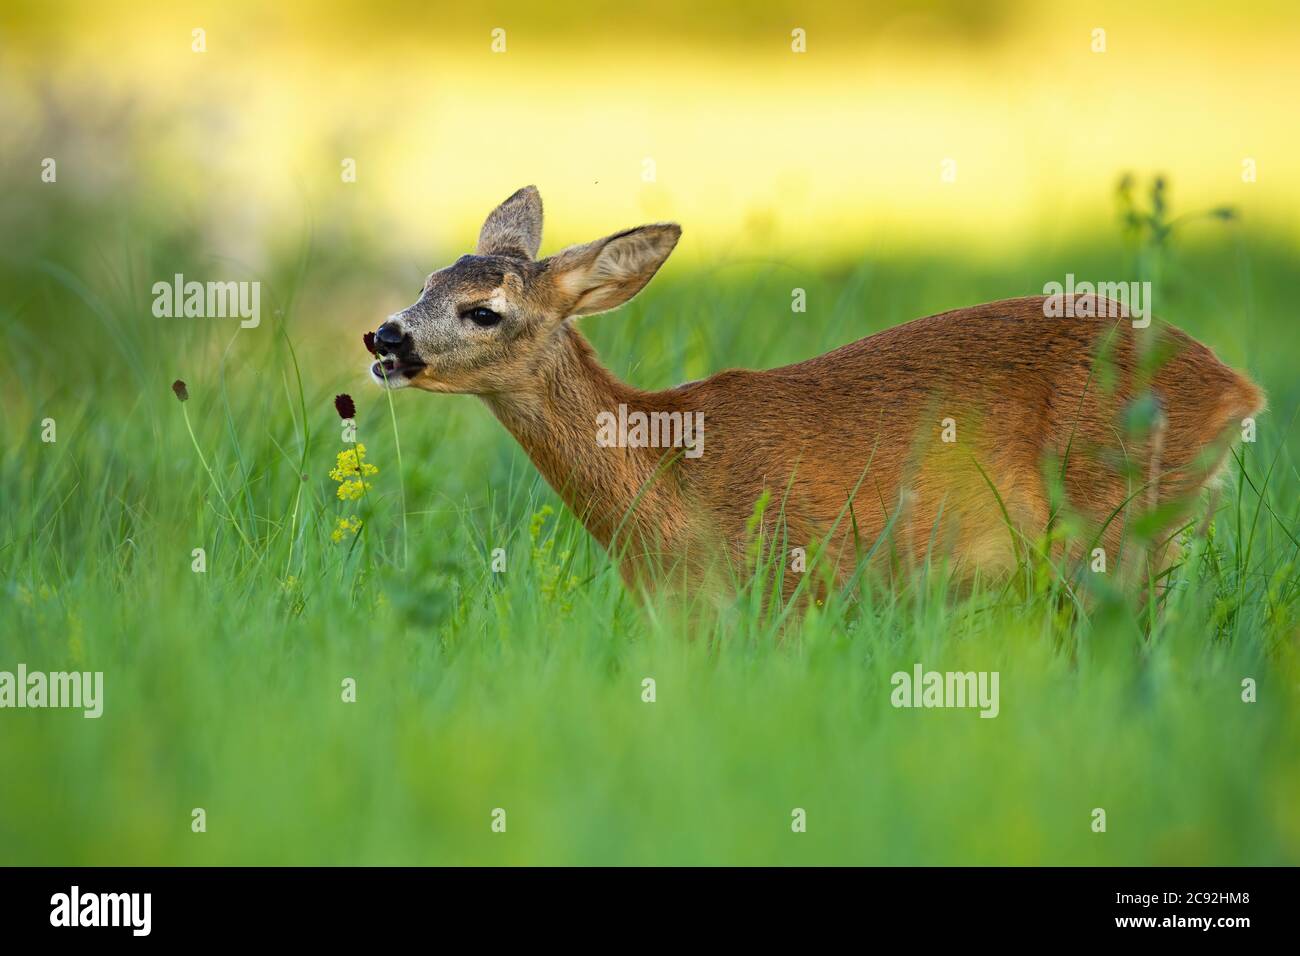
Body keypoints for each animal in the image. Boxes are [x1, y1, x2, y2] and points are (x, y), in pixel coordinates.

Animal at [367, 186, 1264, 600]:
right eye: (430, 279)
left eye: (484, 310)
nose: (384, 339)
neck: (666, 472)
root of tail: (1238, 389)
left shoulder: (790, 581)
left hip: (1111, 520)